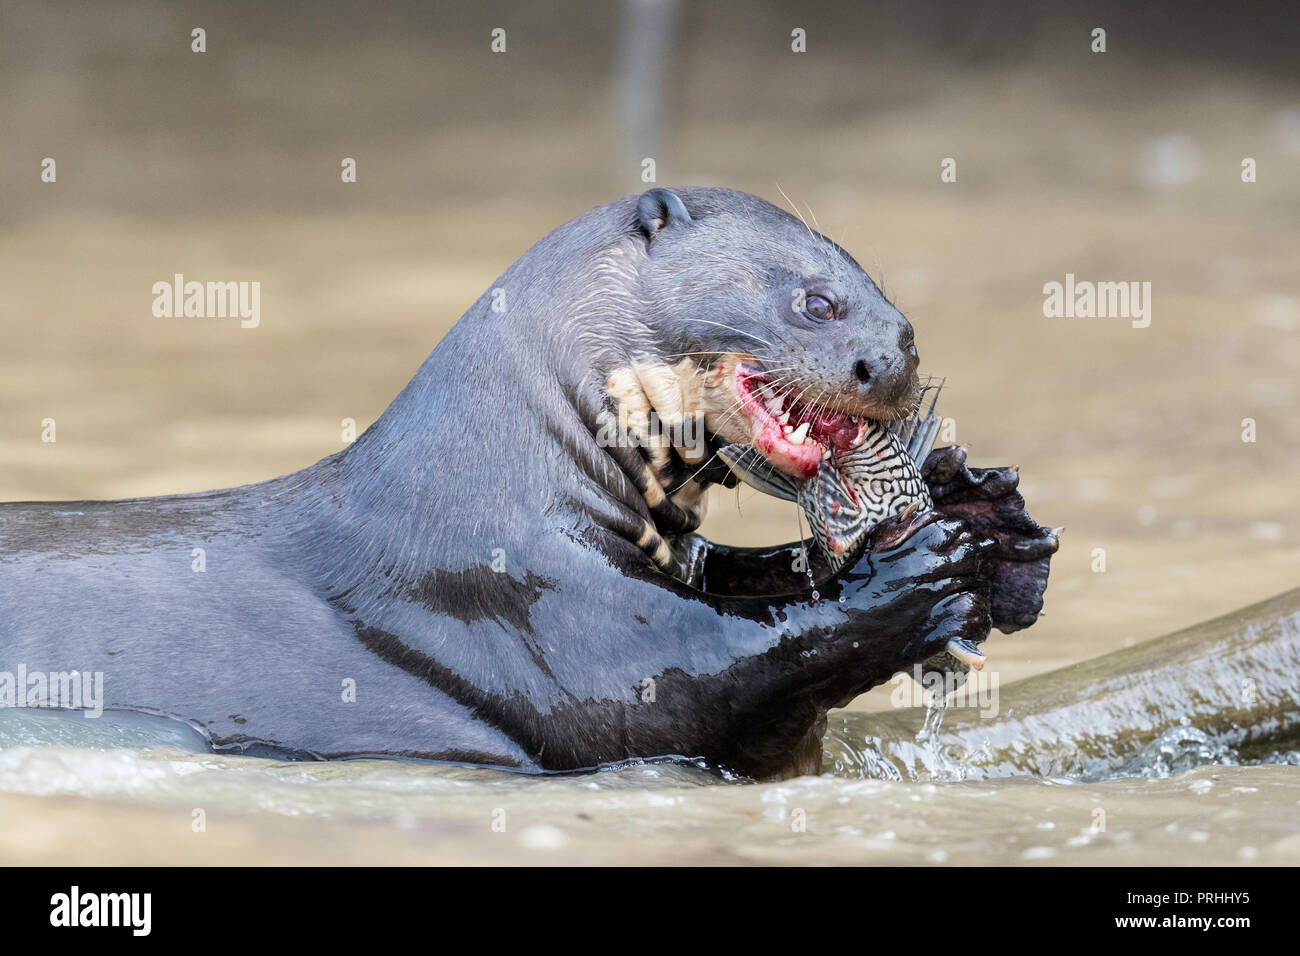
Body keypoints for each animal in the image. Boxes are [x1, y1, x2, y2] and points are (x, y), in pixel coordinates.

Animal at [0, 188, 1054, 779]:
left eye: (904, 321)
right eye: (818, 303)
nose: (894, 362)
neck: (494, 474)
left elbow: (757, 580)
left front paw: (994, 520)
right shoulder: (519, 589)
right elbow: (699, 679)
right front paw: (916, 570)